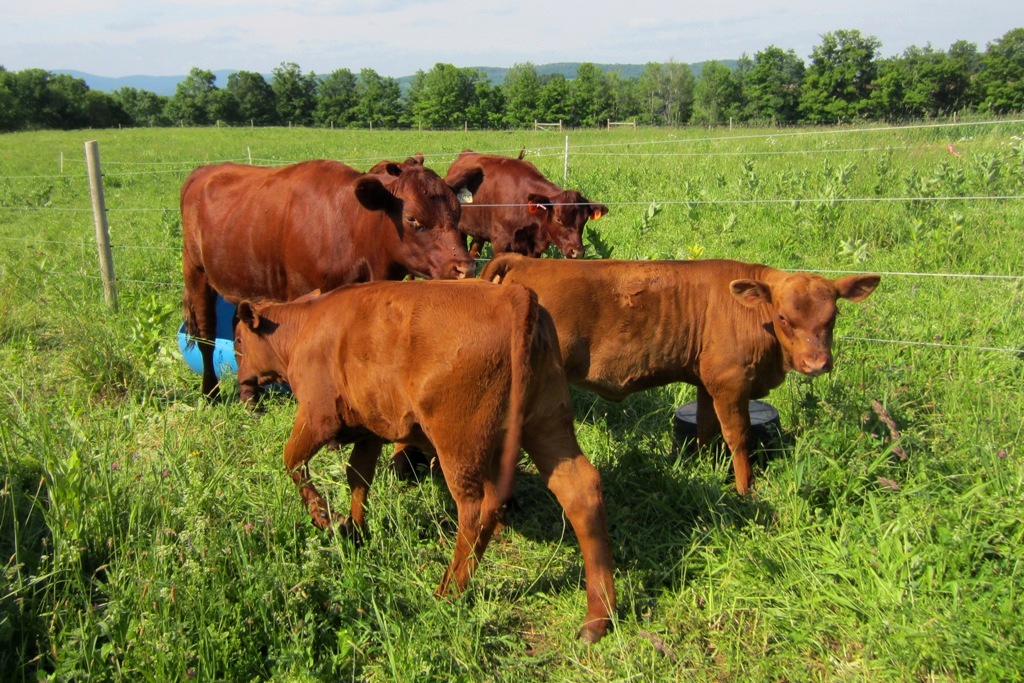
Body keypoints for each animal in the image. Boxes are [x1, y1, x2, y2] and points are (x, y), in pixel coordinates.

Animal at [181, 158, 483, 399]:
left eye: (457, 212)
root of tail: (204, 170)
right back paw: (210, 392)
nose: (465, 268)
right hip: (195, 271)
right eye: (412, 219)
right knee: (206, 335)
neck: (354, 231)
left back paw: (249, 397)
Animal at [233, 280, 615, 642]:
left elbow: (292, 461)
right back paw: (597, 618)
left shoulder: (317, 415)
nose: (241, 382)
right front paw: (355, 530)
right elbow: (358, 476)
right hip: (547, 424)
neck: (305, 326)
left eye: (238, 340)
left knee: (479, 509)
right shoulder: (369, 427)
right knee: (581, 492)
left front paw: (323, 517)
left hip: (458, 443)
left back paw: (448, 591)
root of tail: (513, 296)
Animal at [444, 149, 608, 259]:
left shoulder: (534, 249)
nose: (577, 252)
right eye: (558, 219)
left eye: (584, 220)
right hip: (459, 228)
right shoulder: (501, 243)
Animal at [481, 254, 881, 495]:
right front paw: (745, 488)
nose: (817, 363)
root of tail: (524, 260)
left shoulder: (707, 383)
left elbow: (705, 428)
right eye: (783, 316)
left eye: (832, 316)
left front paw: (700, 467)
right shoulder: (730, 382)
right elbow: (738, 437)